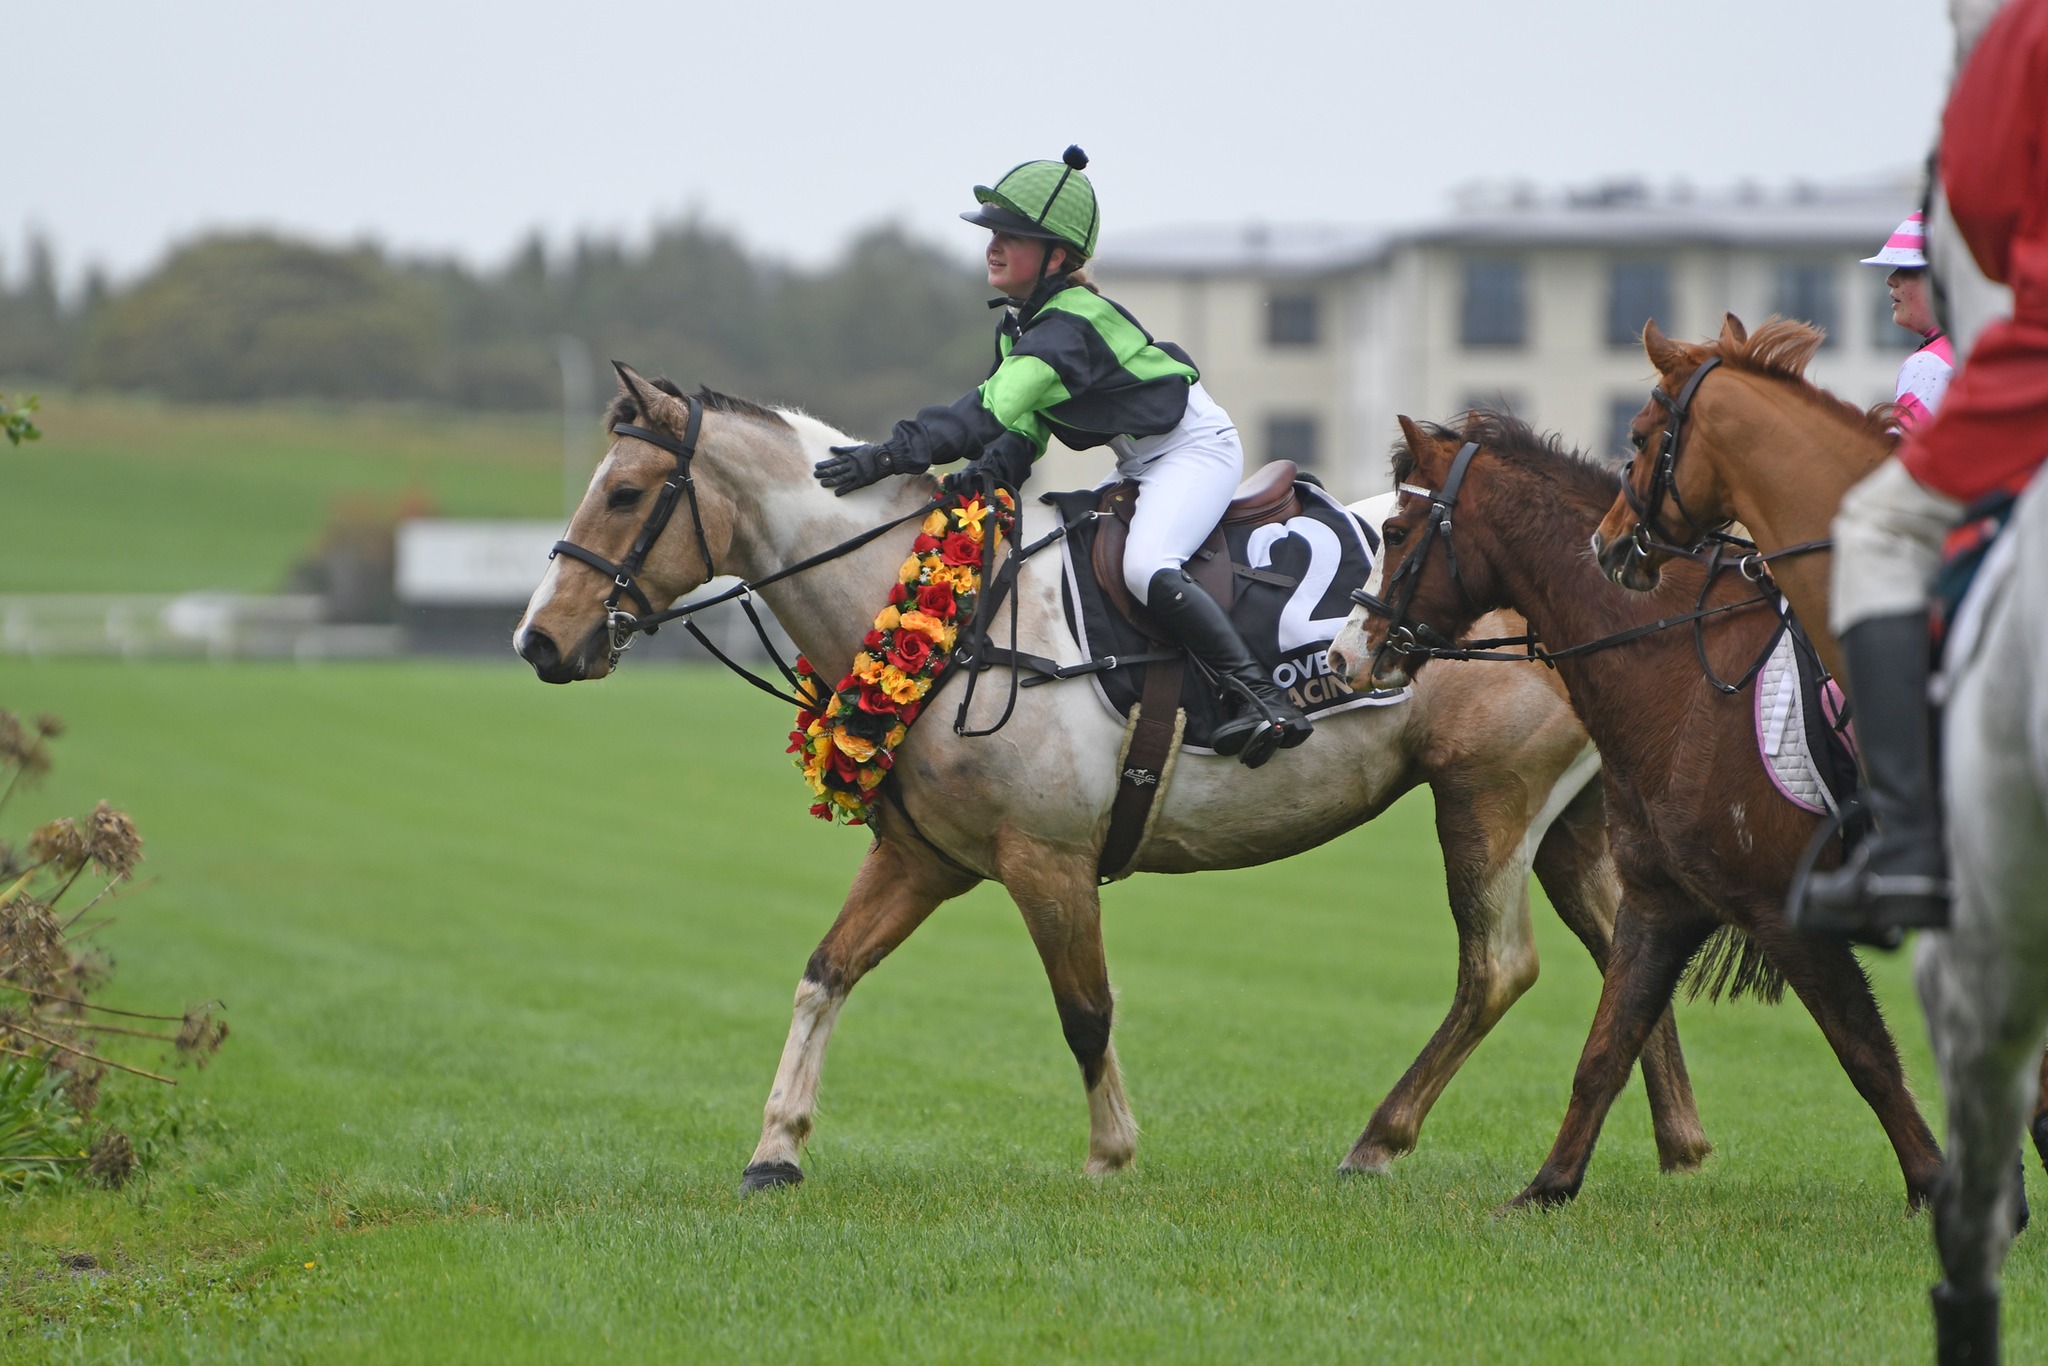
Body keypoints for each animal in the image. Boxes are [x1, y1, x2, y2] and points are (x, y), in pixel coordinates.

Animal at [514, 363, 1711, 1189]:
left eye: (625, 493)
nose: (538, 641)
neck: (965, 622)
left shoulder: (1046, 859)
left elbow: (1083, 1010)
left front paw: (1110, 1153)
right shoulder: (922, 859)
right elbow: (824, 974)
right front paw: (777, 1147)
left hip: (1485, 800)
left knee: (1497, 970)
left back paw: (1380, 1138)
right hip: (1568, 822)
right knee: (1626, 951)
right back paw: (1676, 1139)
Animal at [1325, 411, 1943, 1210]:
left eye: (1396, 531)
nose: (1341, 657)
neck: (1681, 669)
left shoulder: (1784, 914)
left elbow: (1867, 1053)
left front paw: (1935, 1185)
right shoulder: (1661, 900)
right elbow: (1604, 1050)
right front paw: (1548, 1188)